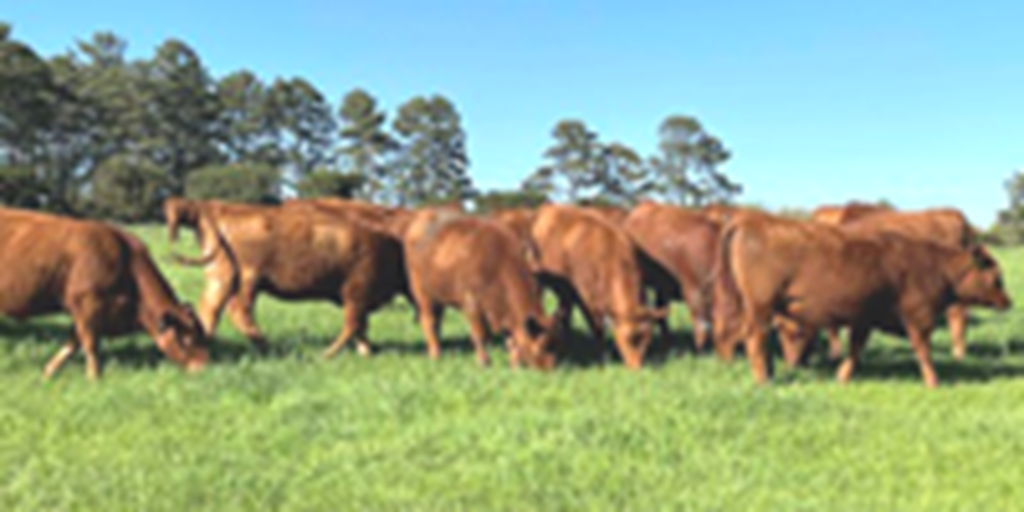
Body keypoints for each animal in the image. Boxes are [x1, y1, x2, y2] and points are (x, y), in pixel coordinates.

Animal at [0, 208, 208, 379]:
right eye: (189, 339)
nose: (204, 368)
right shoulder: (87, 303)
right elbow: (90, 343)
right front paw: (94, 377)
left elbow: (73, 342)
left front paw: (48, 372)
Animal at [162, 198, 407, 358]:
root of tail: (214, 208)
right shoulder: (356, 293)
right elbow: (354, 325)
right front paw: (330, 354)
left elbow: (360, 327)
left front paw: (365, 352)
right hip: (248, 280)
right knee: (238, 310)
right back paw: (266, 345)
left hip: (222, 277)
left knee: (210, 307)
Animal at [397, 208, 558, 368]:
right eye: (542, 346)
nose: (550, 368)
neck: (499, 263)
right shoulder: (471, 305)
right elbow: (480, 334)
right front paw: (484, 361)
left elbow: (511, 338)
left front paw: (514, 363)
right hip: (422, 294)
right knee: (428, 321)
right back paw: (435, 354)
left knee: (437, 321)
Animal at [530, 204, 667, 369]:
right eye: (627, 338)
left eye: (647, 338)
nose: (637, 368)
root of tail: (549, 207)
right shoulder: (586, 299)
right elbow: (597, 327)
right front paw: (603, 358)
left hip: (565, 292)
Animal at [713, 214, 1010, 388]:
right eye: (997, 278)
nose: (1009, 302)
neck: (934, 266)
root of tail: (750, 219)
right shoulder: (918, 318)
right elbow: (923, 352)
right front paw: (933, 382)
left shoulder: (864, 318)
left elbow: (856, 350)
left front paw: (842, 377)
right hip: (760, 307)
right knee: (755, 338)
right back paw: (764, 380)